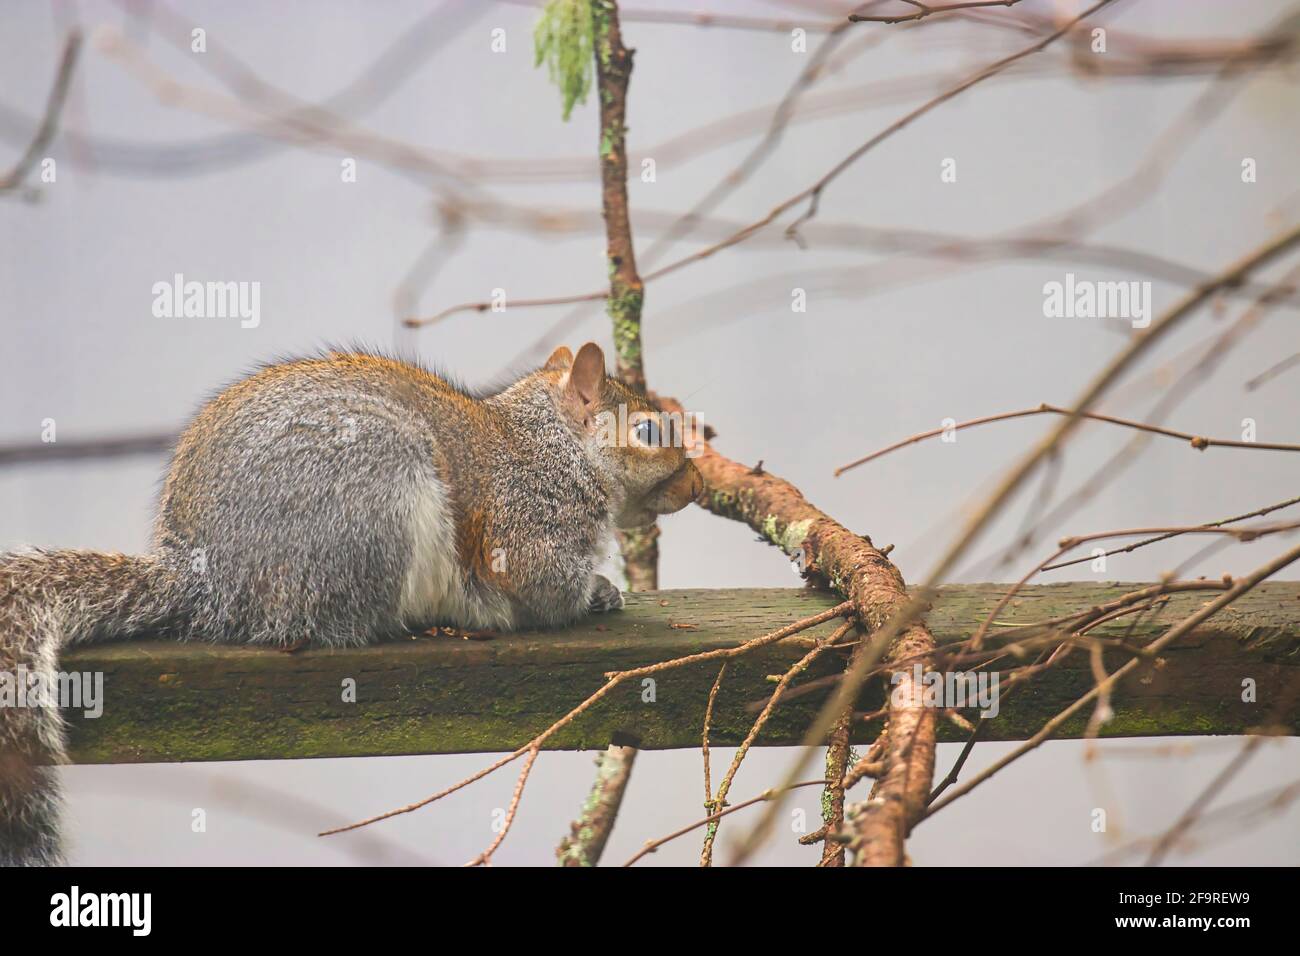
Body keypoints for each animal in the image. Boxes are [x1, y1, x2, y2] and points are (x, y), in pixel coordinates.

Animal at [0, 341, 702, 865]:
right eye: (647, 431)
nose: (695, 483)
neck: (551, 444)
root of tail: (208, 581)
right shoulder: (529, 525)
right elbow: (547, 587)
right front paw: (598, 593)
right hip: (371, 499)